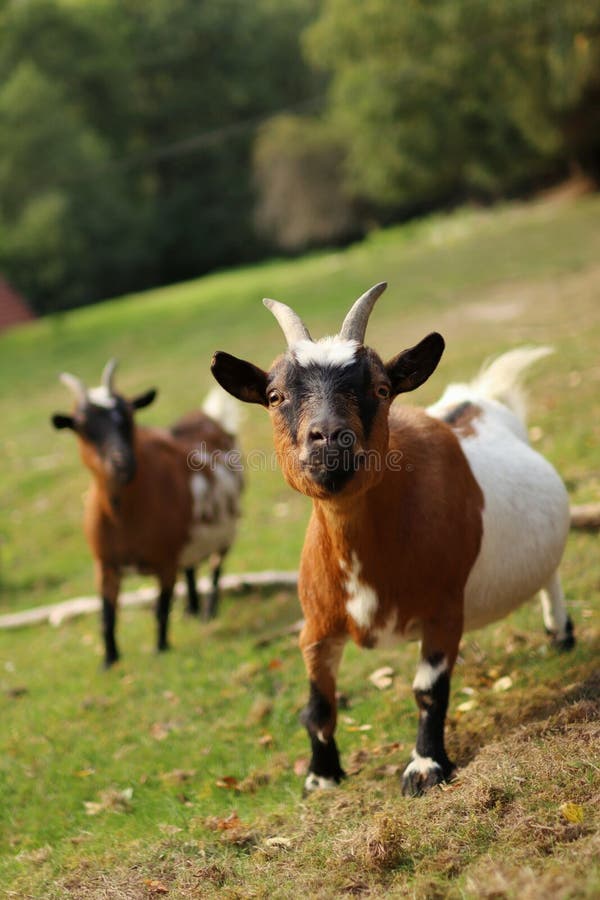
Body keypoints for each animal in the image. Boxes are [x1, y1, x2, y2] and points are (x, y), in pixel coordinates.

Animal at [52, 360, 242, 667]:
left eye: (129, 416)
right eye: (81, 425)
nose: (122, 463)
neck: (124, 516)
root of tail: (209, 417)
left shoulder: (165, 562)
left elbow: (161, 607)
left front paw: (160, 648)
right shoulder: (105, 564)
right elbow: (107, 615)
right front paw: (109, 660)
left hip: (227, 528)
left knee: (215, 567)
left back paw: (207, 611)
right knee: (191, 565)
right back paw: (191, 608)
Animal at [211, 282, 573, 796]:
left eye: (381, 389)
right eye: (275, 395)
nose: (330, 438)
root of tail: (476, 398)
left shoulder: (445, 611)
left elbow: (428, 691)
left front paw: (425, 767)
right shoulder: (316, 625)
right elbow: (318, 705)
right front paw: (322, 775)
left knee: (553, 573)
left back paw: (560, 633)